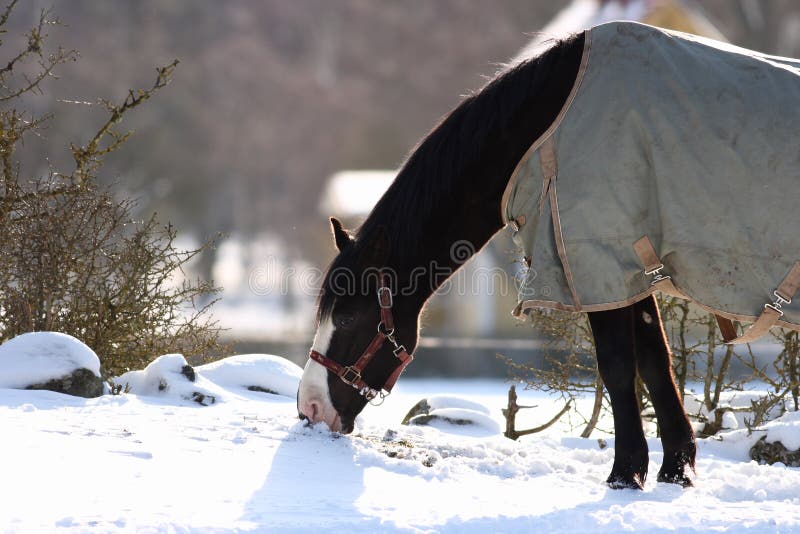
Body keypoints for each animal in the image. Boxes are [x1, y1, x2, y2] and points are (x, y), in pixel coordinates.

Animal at [297, 21, 800, 490]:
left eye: (347, 318)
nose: (310, 408)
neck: (549, 127)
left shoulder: (598, 266)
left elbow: (618, 368)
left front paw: (624, 475)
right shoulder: (630, 274)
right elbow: (656, 363)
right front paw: (675, 470)